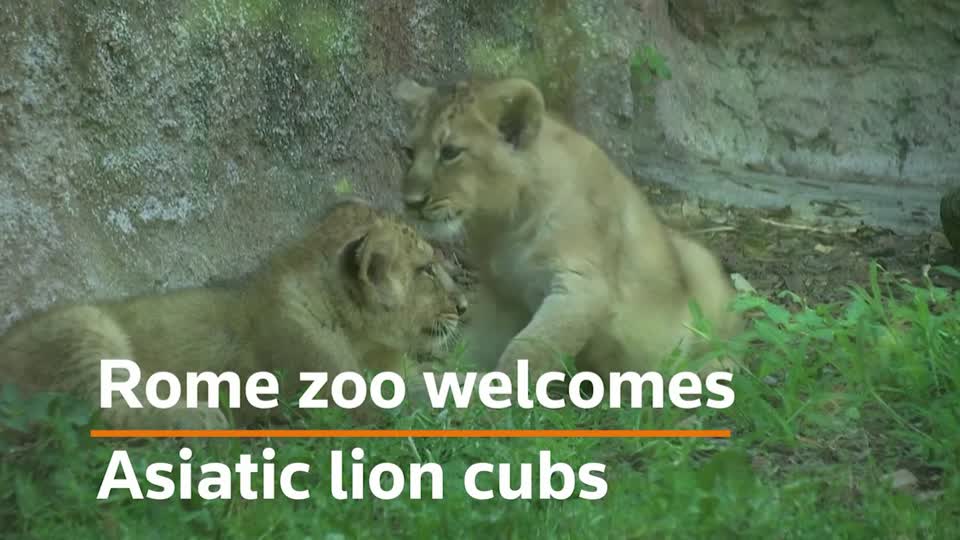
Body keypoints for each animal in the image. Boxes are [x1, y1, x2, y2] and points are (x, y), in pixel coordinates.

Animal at [0, 199, 468, 429]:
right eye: (427, 270)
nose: (465, 307)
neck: (366, 340)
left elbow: (438, 379)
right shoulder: (340, 400)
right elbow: (415, 402)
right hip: (83, 328)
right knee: (100, 416)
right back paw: (201, 418)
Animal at [391, 77, 742, 380]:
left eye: (450, 152)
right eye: (409, 152)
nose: (411, 202)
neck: (503, 224)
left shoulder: (581, 286)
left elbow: (529, 349)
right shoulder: (503, 297)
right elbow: (475, 346)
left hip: (701, 266)